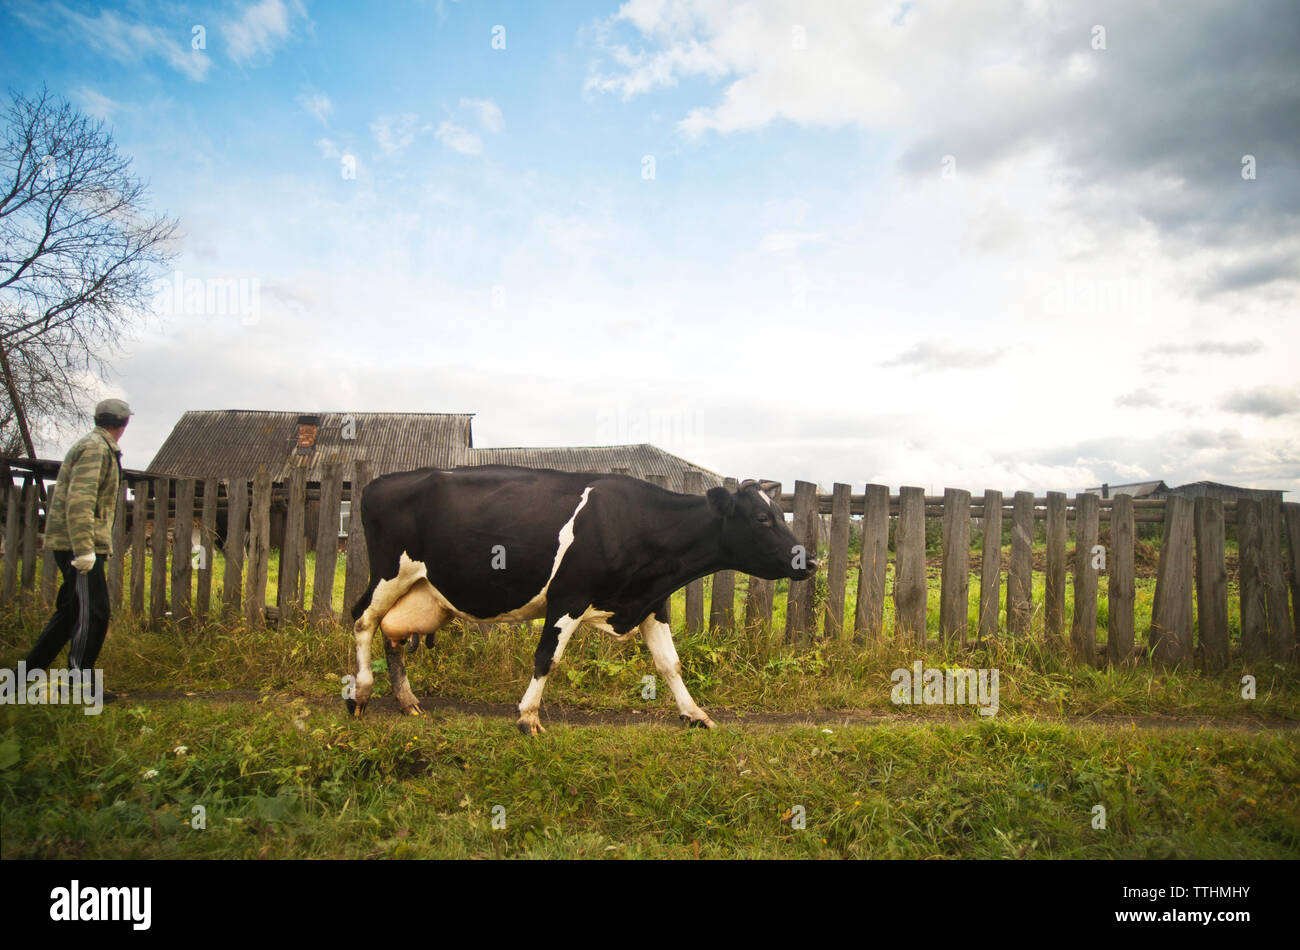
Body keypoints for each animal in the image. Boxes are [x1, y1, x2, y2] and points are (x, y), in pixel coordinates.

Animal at [346, 465, 816, 734]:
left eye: (781, 513)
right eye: (763, 518)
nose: (810, 561)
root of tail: (378, 483)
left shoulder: (652, 602)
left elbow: (670, 663)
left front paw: (694, 713)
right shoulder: (567, 596)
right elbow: (546, 658)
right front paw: (528, 716)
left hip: (419, 589)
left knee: (392, 633)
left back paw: (407, 702)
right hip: (389, 572)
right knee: (362, 618)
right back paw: (361, 694)